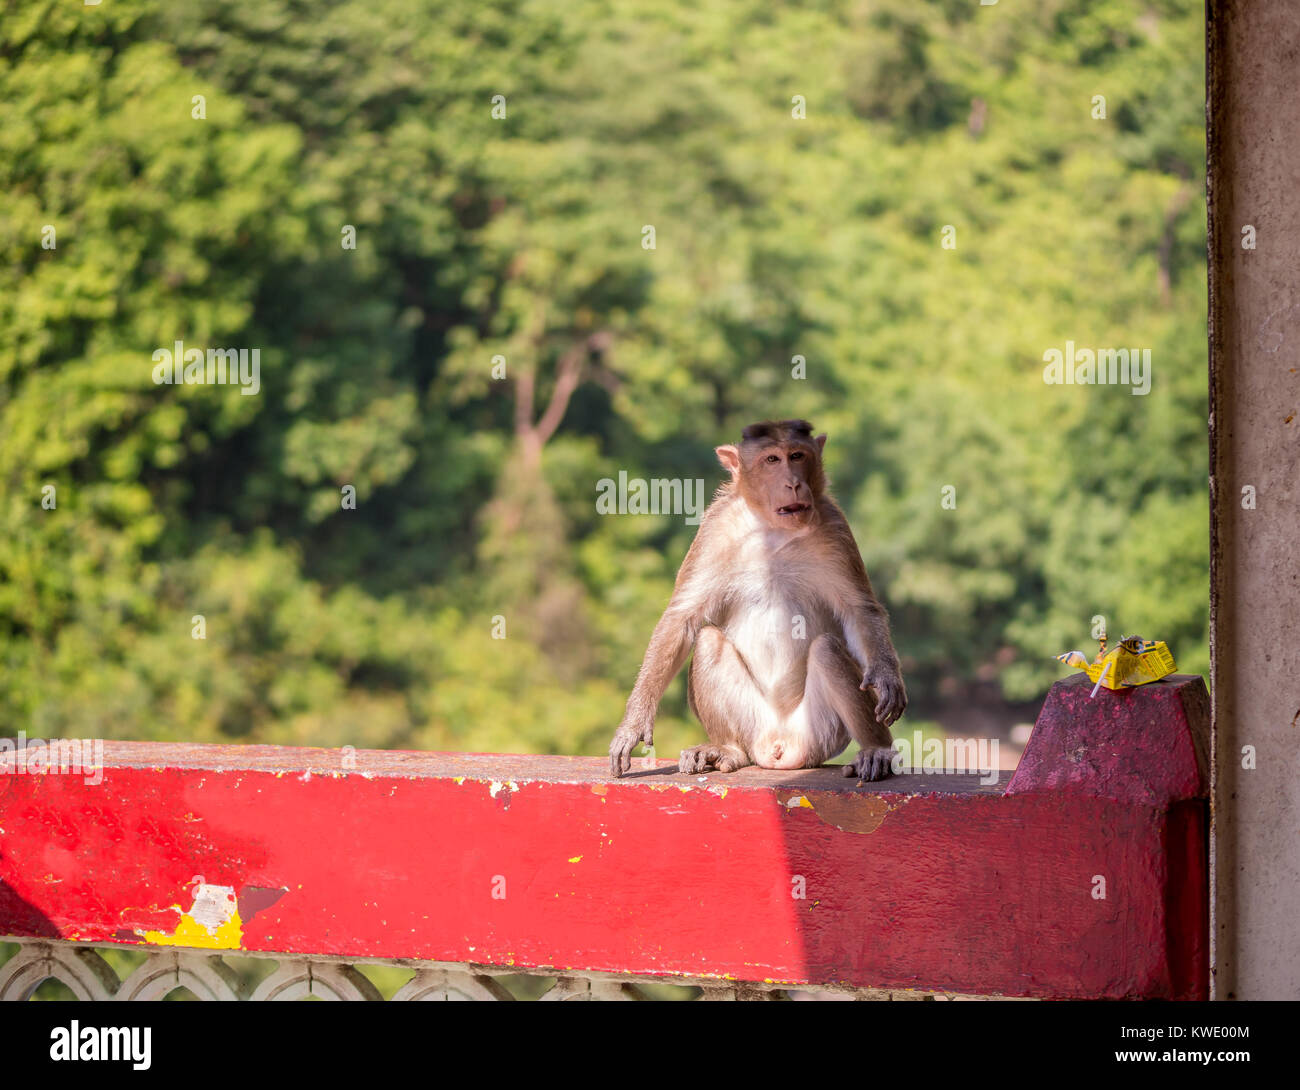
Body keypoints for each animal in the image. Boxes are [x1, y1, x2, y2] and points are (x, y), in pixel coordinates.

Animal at [608, 419, 907, 781]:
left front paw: (886, 677)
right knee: (708, 641)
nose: (794, 483)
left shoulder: (835, 528)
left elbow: (859, 610)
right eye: (772, 460)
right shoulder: (714, 529)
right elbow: (682, 618)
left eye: (797, 455)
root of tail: (778, 744)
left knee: (828, 650)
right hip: (751, 725)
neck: (772, 529)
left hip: (821, 733)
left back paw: (876, 750)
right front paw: (633, 724)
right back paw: (726, 750)